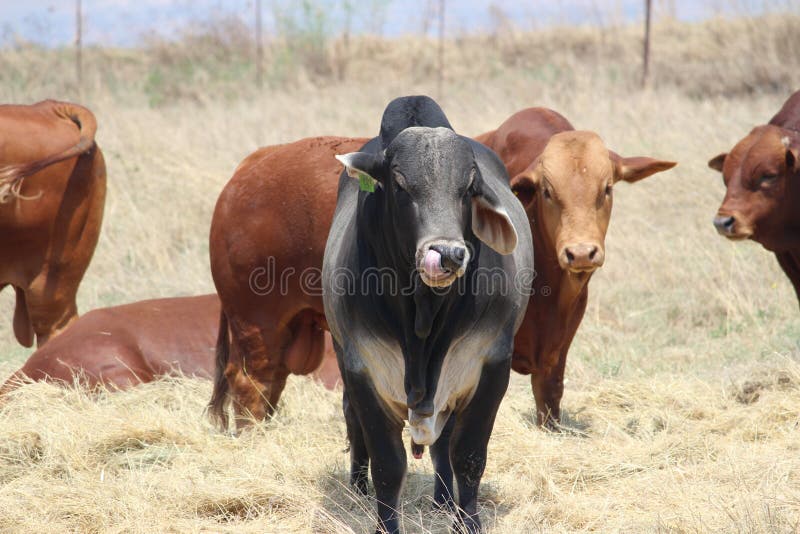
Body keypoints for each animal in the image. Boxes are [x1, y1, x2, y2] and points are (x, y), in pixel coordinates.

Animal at [323, 96, 532, 534]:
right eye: (401, 185)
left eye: (468, 188)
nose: (448, 254)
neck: (421, 322)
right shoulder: (362, 368)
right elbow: (388, 465)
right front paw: (386, 525)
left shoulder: (491, 365)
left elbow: (467, 456)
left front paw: (467, 522)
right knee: (354, 423)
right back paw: (358, 488)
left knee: (444, 444)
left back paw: (443, 501)